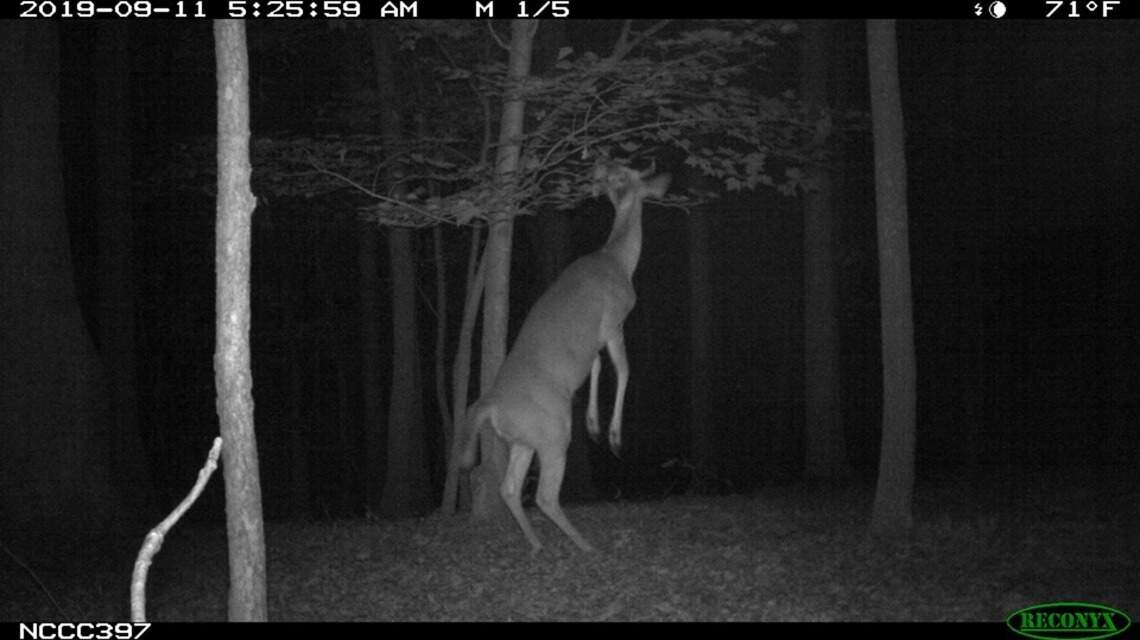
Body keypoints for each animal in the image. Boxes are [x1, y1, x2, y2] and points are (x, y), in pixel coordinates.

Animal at [460, 163, 670, 554]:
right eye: (623, 172)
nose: (600, 165)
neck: (617, 259)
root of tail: (489, 405)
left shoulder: (597, 338)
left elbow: (599, 365)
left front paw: (595, 425)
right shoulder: (613, 320)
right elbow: (622, 369)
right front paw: (613, 436)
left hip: (523, 438)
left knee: (509, 488)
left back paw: (538, 544)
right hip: (552, 433)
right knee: (543, 495)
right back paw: (585, 545)